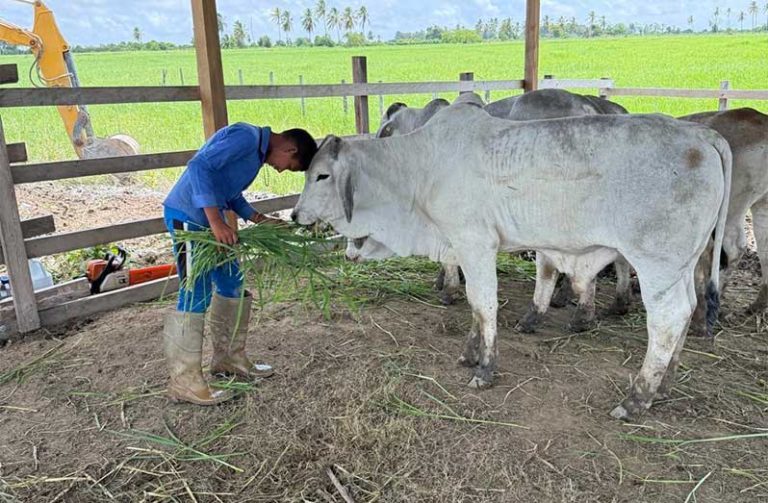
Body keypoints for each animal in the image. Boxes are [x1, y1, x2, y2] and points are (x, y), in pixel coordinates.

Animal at [293, 104, 731, 419]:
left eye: (322, 175)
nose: (296, 214)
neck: (421, 167)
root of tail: (702, 134)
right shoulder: (463, 248)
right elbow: (474, 305)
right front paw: (470, 353)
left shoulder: (475, 244)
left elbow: (485, 305)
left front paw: (485, 369)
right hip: (683, 265)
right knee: (689, 309)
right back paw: (666, 384)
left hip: (658, 265)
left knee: (667, 321)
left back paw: (637, 398)